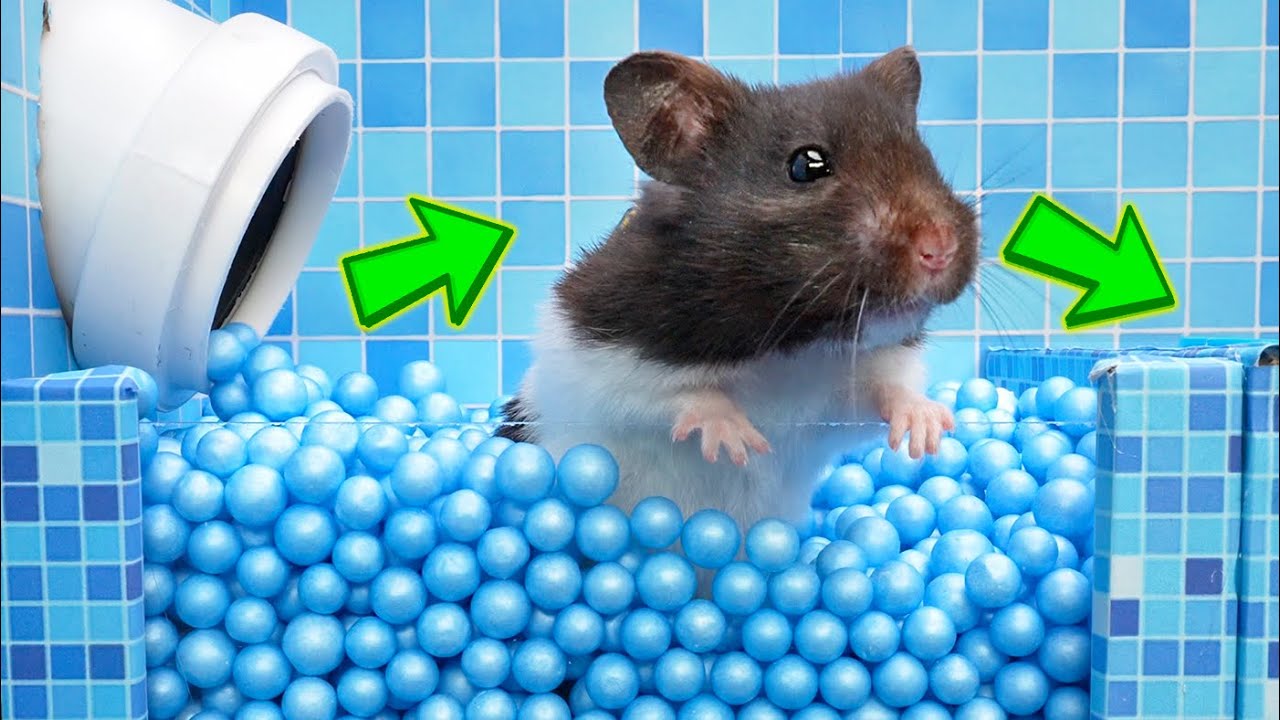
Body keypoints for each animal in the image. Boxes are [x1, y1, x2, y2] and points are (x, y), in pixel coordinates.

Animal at [498, 46, 979, 535]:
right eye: (806, 165)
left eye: (925, 156)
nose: (940, 249)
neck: (790, 346)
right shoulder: (594, 354)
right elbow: (668, 394)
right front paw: (740, 441)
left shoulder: (842, 392)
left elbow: (887, 384)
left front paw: (929, 429)